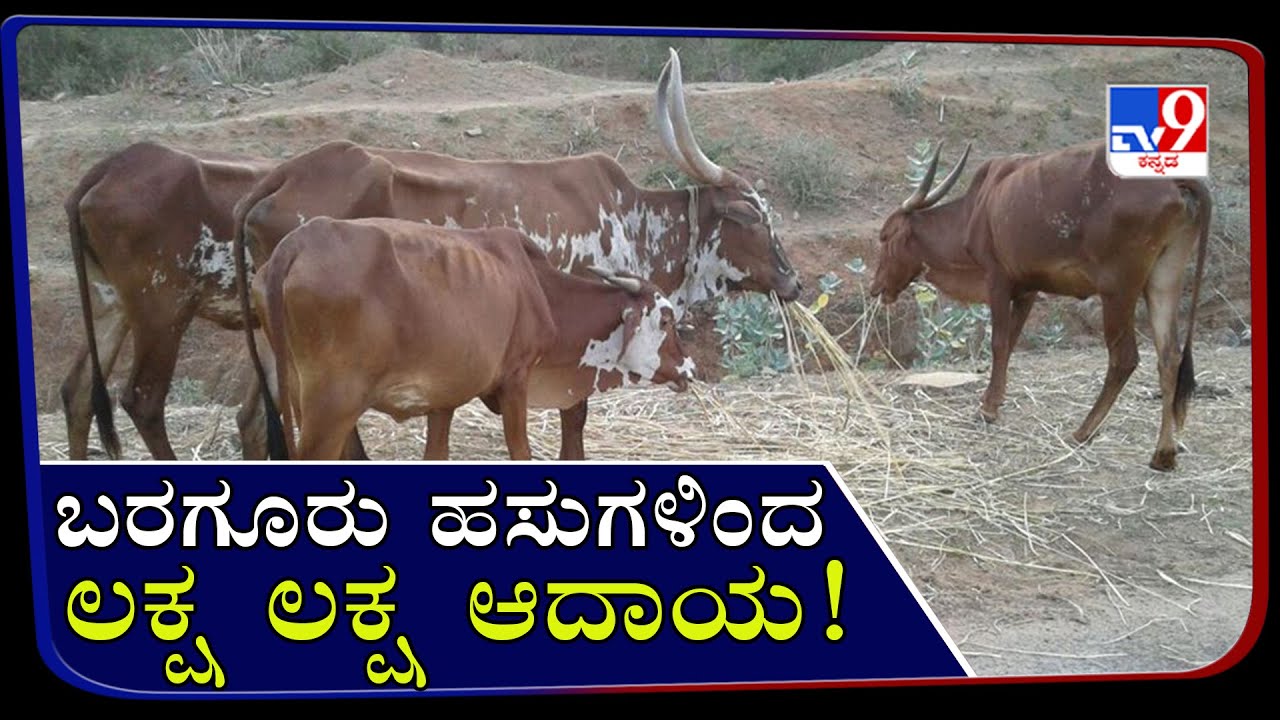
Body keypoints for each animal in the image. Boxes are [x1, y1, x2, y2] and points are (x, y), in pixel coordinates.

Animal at [60, 141, 275, 461]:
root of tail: (114, 164)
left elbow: (258, 421)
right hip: (163, 315)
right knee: (143, 401)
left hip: (110, 306)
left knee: (78, 392)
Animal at [251, 217, 694, 460]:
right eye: (666, 319)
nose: (689, 369)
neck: (542, 292)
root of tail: (299, 241)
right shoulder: (516, 380)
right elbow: (521, 452)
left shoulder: (443, 398)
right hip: (332, 407)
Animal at [867, 139, 1211, 472]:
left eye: (885, 237)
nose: (875, 288)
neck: (976, 210)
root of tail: (1176, 181)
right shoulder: (1027, 290)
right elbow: (1011, 343)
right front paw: (995, 400)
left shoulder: (997, 280)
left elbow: (999, 343)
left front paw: (988, 409)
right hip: (1162, 279)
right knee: (1169, 357)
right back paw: (1163, 453)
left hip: (1118, 289)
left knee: (1124, 359)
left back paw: (1084, 431)